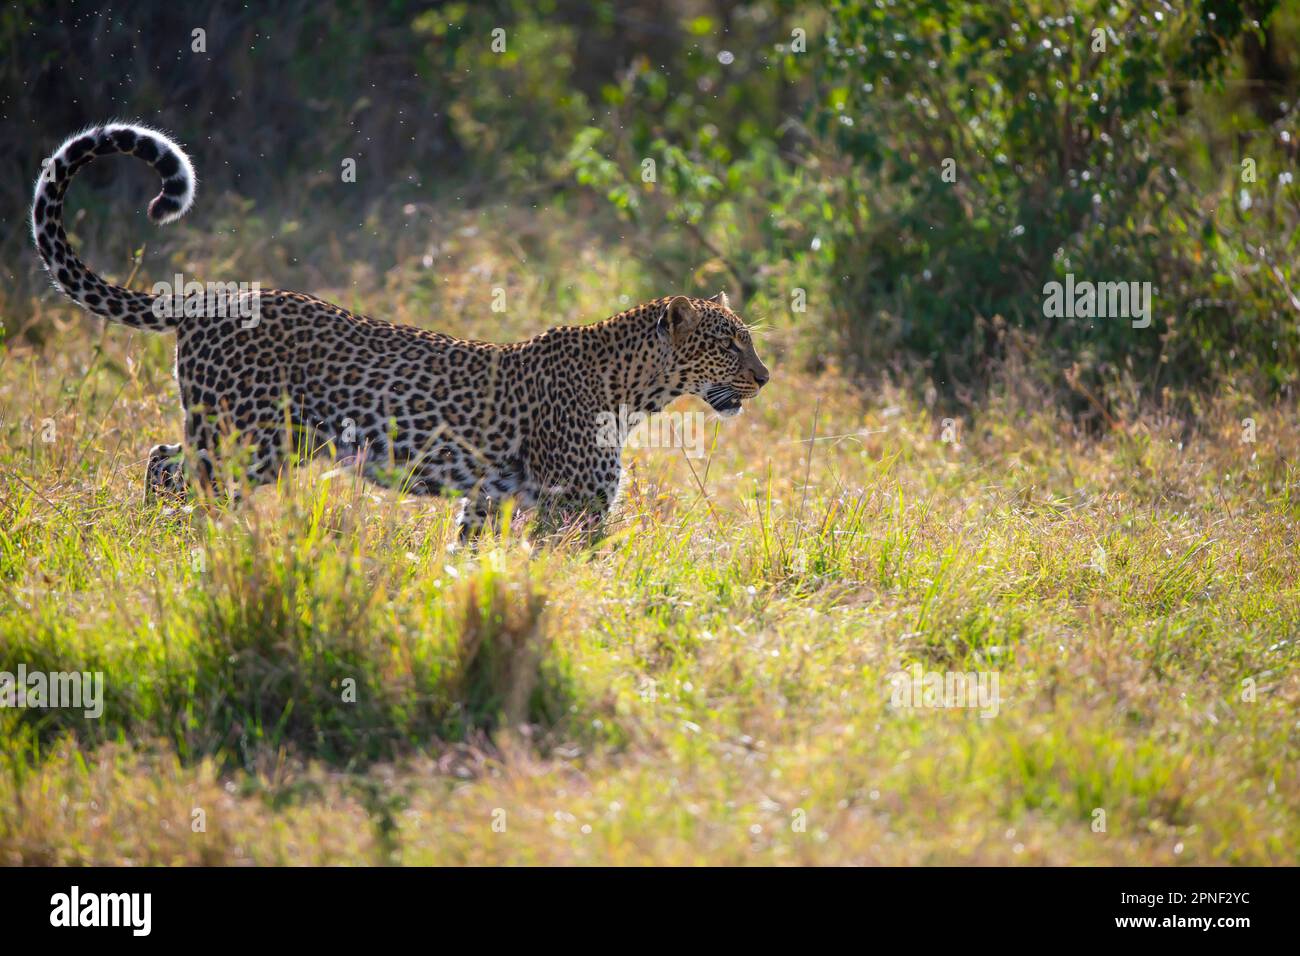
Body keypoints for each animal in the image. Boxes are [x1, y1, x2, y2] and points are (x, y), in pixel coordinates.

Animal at [31, 122, 770, 543]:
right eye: (729, 342)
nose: (764, 378)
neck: (634, 390)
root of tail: (212, 301)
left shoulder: (490, 500)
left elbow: (472, 558)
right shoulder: (574, 507)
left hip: (257, 441)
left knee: (161, 458)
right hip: (245, 441)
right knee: (180, 476)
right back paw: (191, 547)